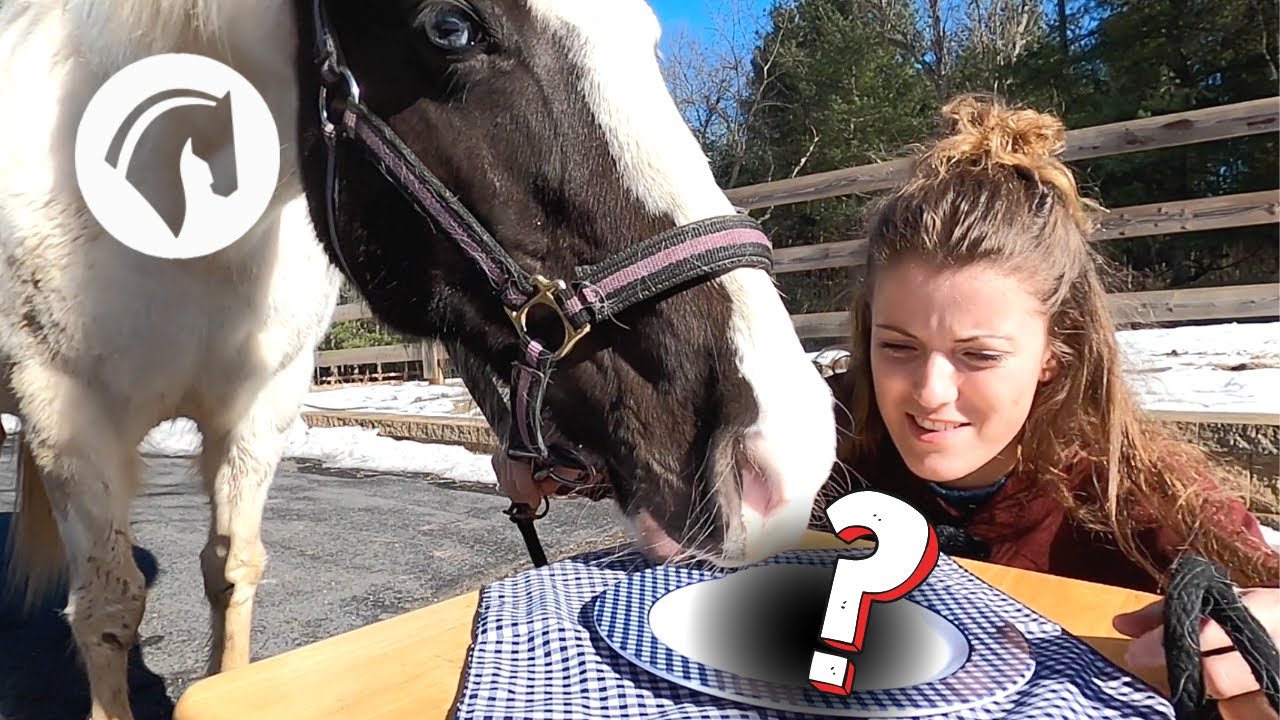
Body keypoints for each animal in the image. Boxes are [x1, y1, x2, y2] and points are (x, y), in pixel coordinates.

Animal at [0, 1, 838, 719]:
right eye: (450, 27)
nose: (784, 448)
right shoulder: (68, 412)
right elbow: (110, 608)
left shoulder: (258, 412)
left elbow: (232, 573)